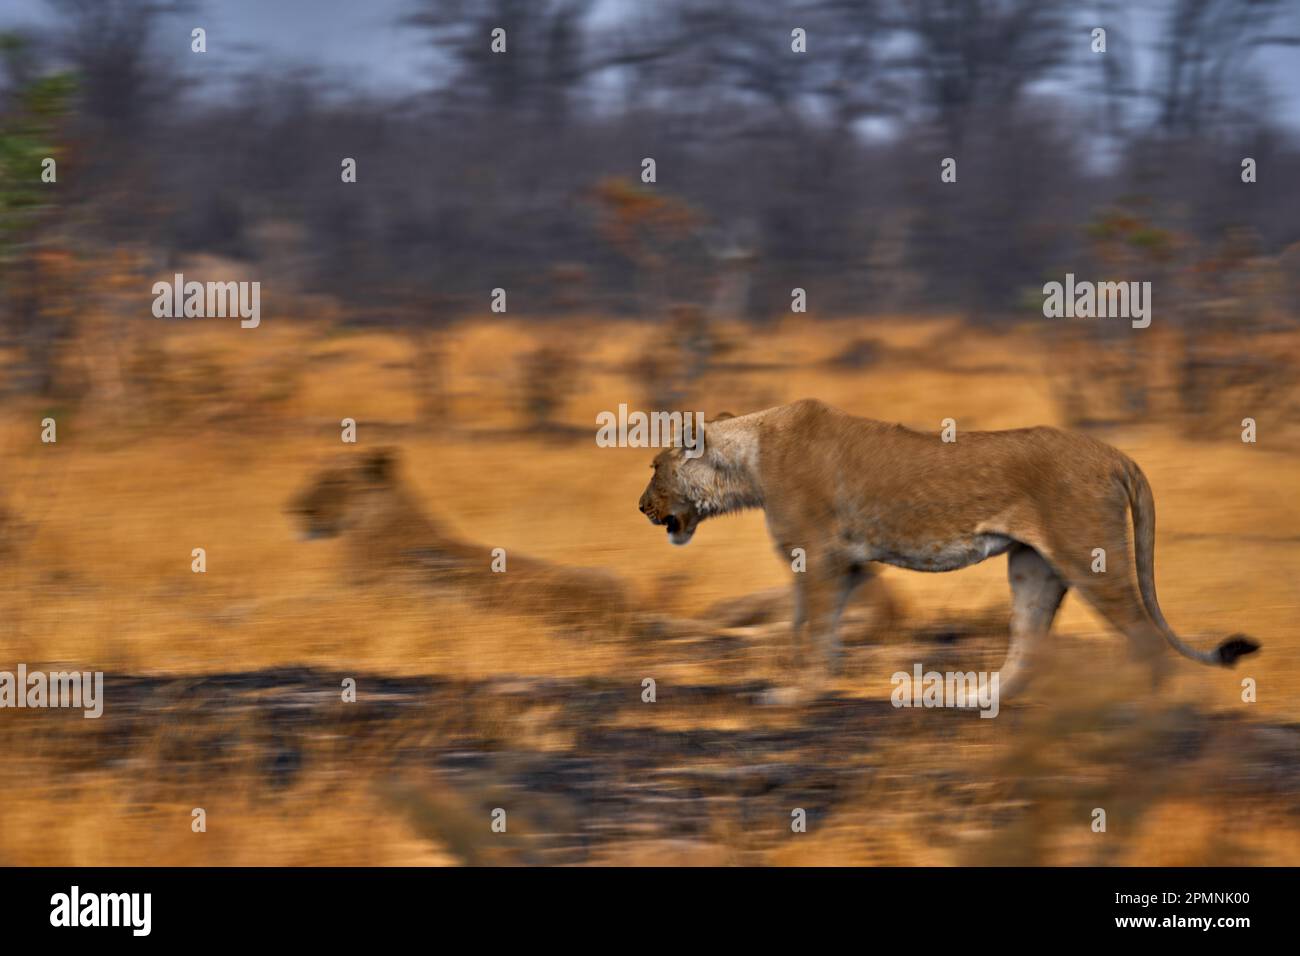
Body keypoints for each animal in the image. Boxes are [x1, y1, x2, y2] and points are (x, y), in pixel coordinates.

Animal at [638, 399, 1259, 700]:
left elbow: (807, 630)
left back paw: (1145, 712)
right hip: (1033, 565)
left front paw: (793, 696)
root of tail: (1115, 453)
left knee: (1146, 639)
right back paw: (972, 699)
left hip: (1089, 557)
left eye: (655, 466)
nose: (642, 508)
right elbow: (818, 629)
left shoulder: (817, 556)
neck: (747, 462)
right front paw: (815, 684)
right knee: (1027, 648)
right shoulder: (850, 564)